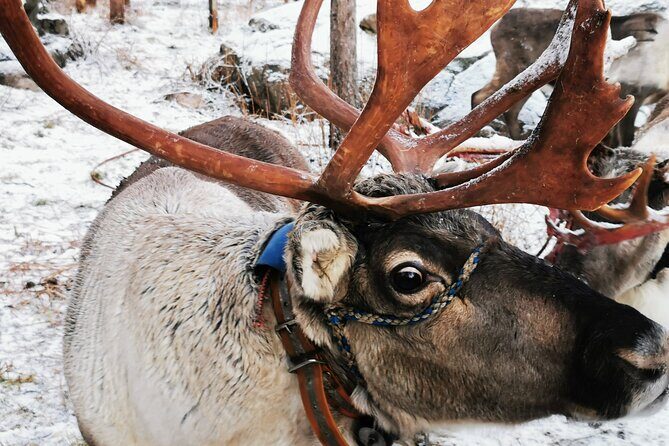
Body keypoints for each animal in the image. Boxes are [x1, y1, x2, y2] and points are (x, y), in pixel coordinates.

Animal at [472, 8, 668, 146]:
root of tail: (495, 28)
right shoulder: (632, 92)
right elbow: (626, 139)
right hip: (514, 68)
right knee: (480, 96)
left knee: (509, 111)